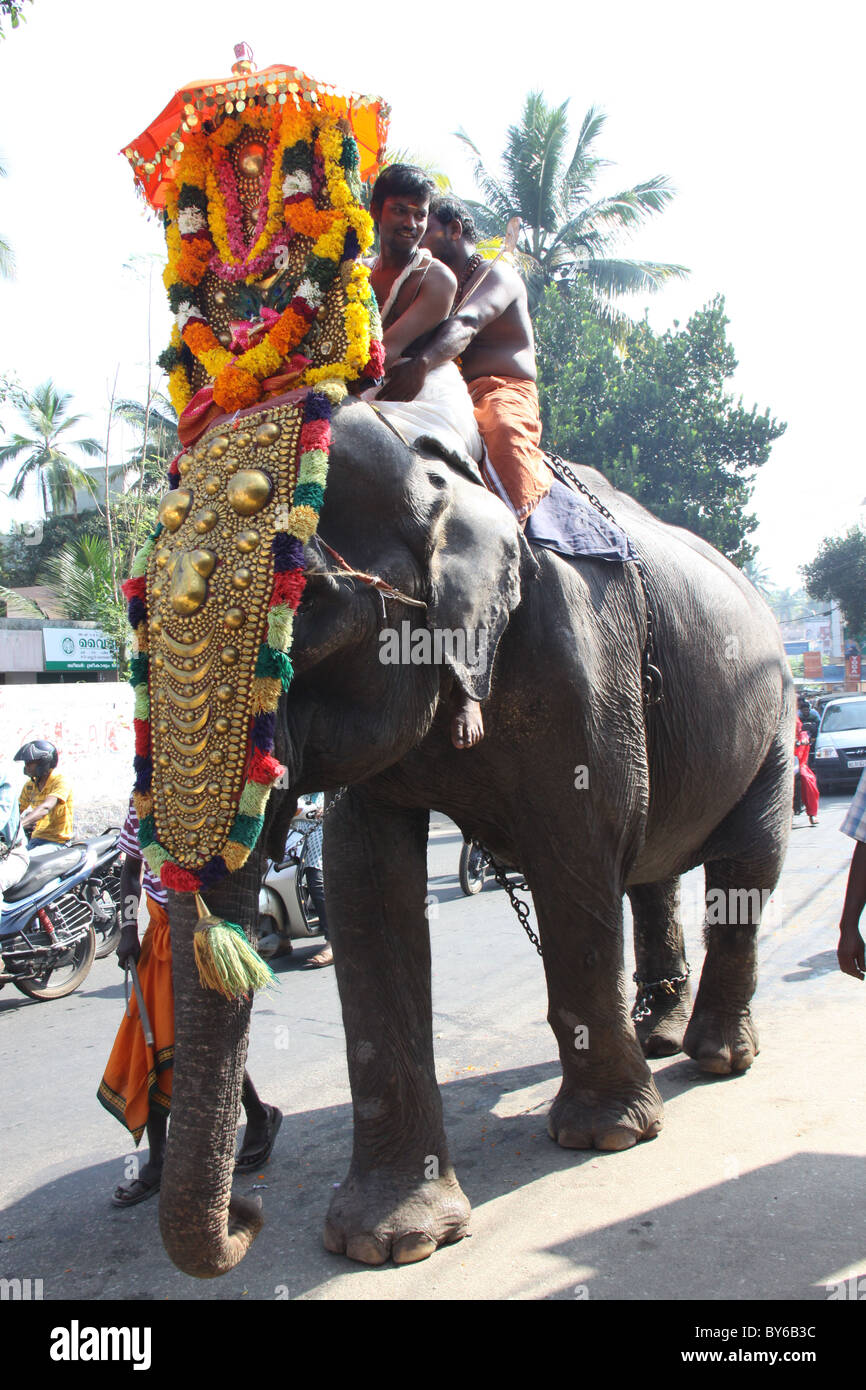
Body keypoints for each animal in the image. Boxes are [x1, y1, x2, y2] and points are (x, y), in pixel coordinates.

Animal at [156, 394, 793, 1277]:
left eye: (307, 603)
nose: (249, 1208)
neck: (433, 454)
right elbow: (363, 885)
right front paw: (389, 1241)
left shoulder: (582, 664)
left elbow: (575, 850)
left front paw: (606, 1135)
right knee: (653, 868)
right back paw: (658, 1035)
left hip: (775, 716)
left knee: (743, 867)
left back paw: (715, 1057)